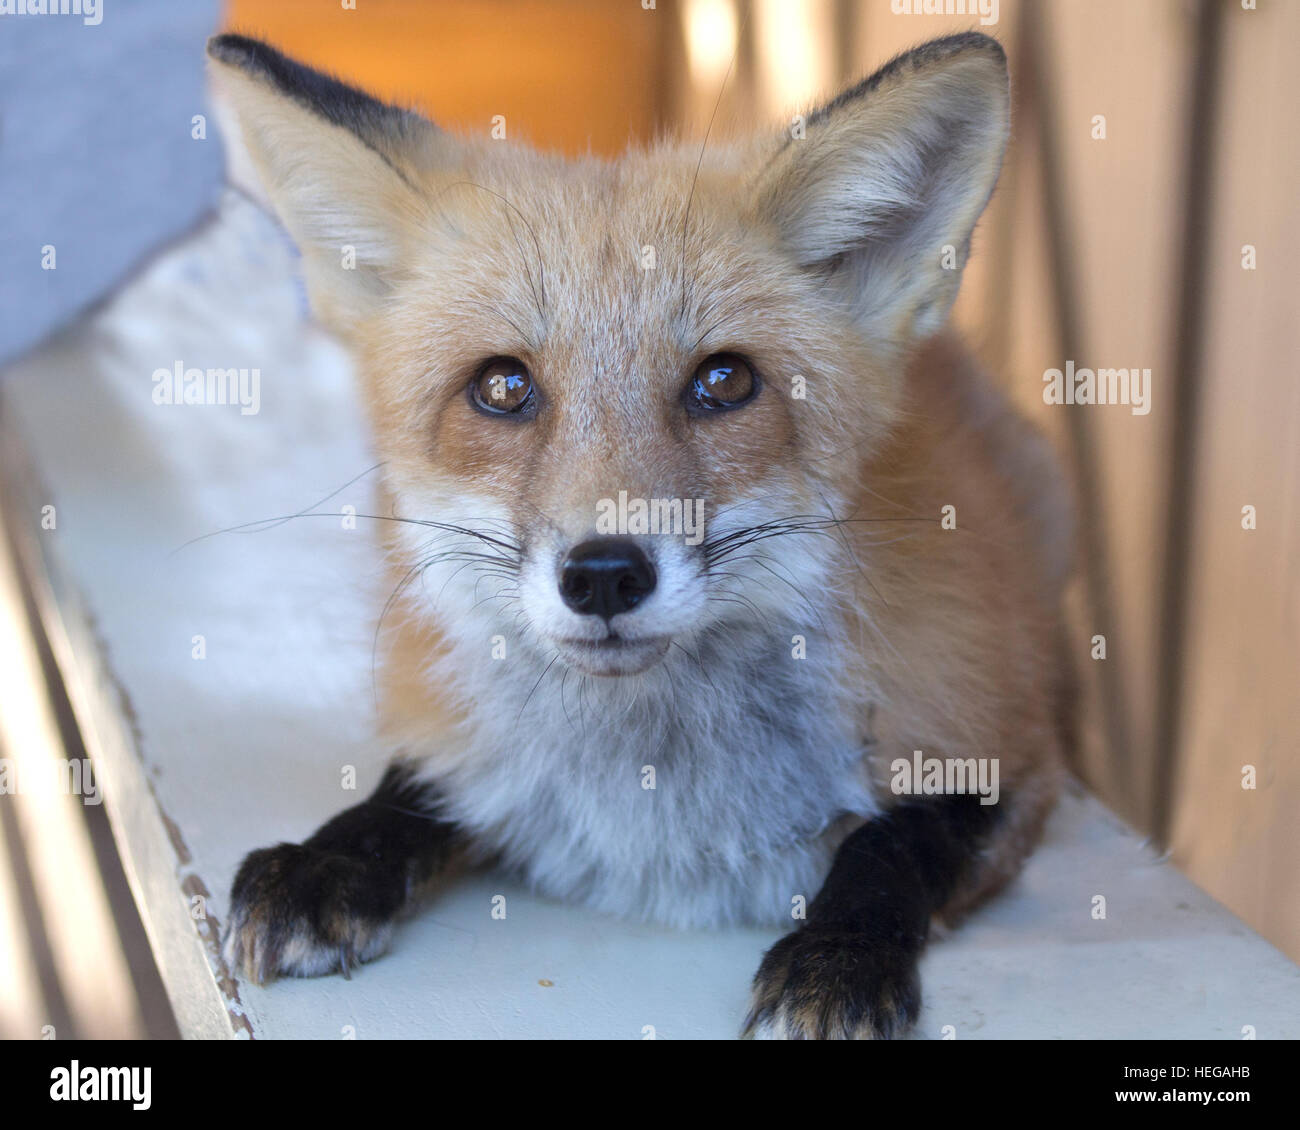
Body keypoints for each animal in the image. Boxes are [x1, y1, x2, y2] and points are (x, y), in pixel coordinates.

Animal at [209, 28, 1074, 1039]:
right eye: (502, 387)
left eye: (725, 382)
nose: (605, 576)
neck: (649, 803)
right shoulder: (457, 742)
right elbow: (412, 788)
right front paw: (330, 860)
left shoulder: (1010, 754)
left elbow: (895, 842)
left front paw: (841, 955)